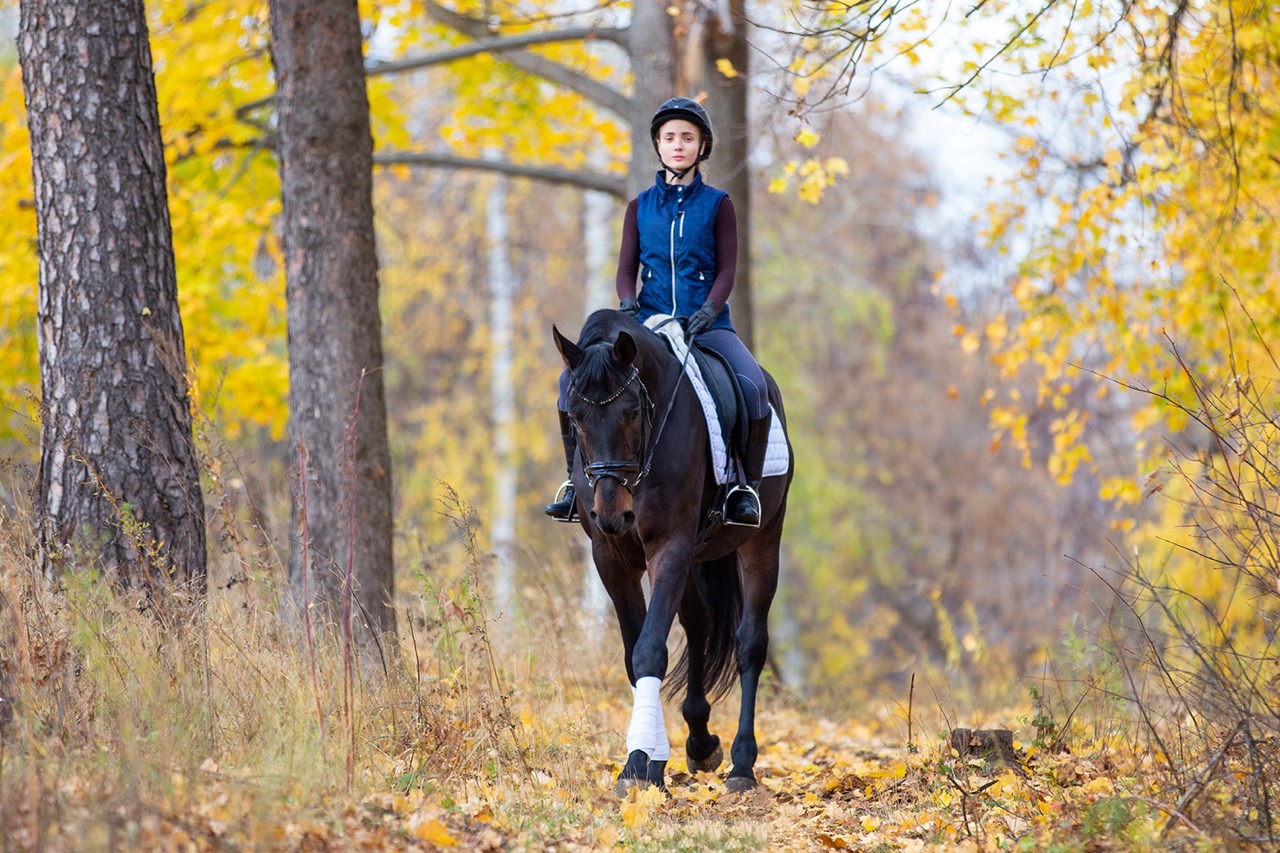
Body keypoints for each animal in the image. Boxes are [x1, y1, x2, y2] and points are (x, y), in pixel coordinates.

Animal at [552, 308, 793, 795]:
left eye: (631, 412)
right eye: (575, 418)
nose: (613, 514)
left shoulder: (669, 548)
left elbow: (649, 650)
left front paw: (638, 761)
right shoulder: (611, 559)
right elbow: (635, 655)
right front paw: (647, 764)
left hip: (762, 540)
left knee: (750, 644)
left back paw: (742, 765)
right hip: (693, 559)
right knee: (698, 625)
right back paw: (700, 741)